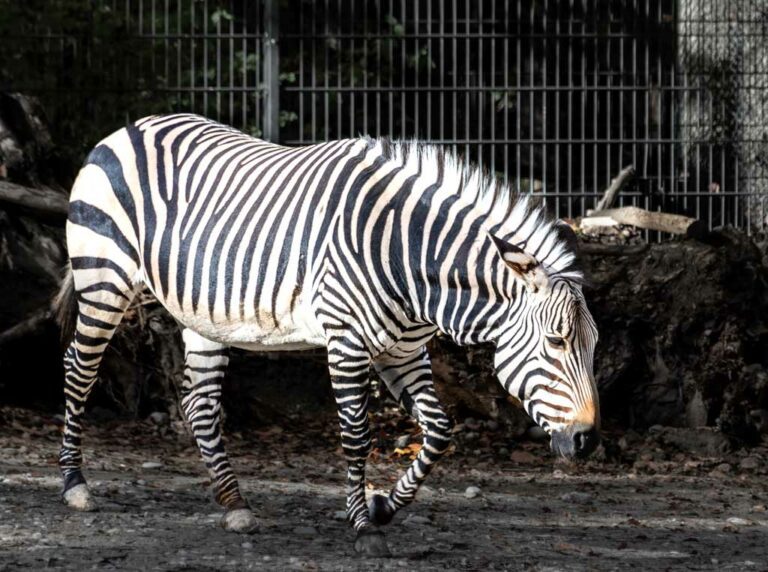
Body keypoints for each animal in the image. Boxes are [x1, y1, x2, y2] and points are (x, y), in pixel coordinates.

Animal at [54, 113, 600, 556]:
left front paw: (383, 507)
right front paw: (364, 526)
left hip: (203, 315)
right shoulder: (347, 341)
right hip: (103, 278)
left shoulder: (403, 350)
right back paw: (75, 485)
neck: (410, 257)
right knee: (78, 371)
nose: (589, 441)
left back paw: (234, 502)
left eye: (593, 346)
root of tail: (129, 128)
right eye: (556, 342)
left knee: (200, 403)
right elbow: (357, 436)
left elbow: (440, 430)